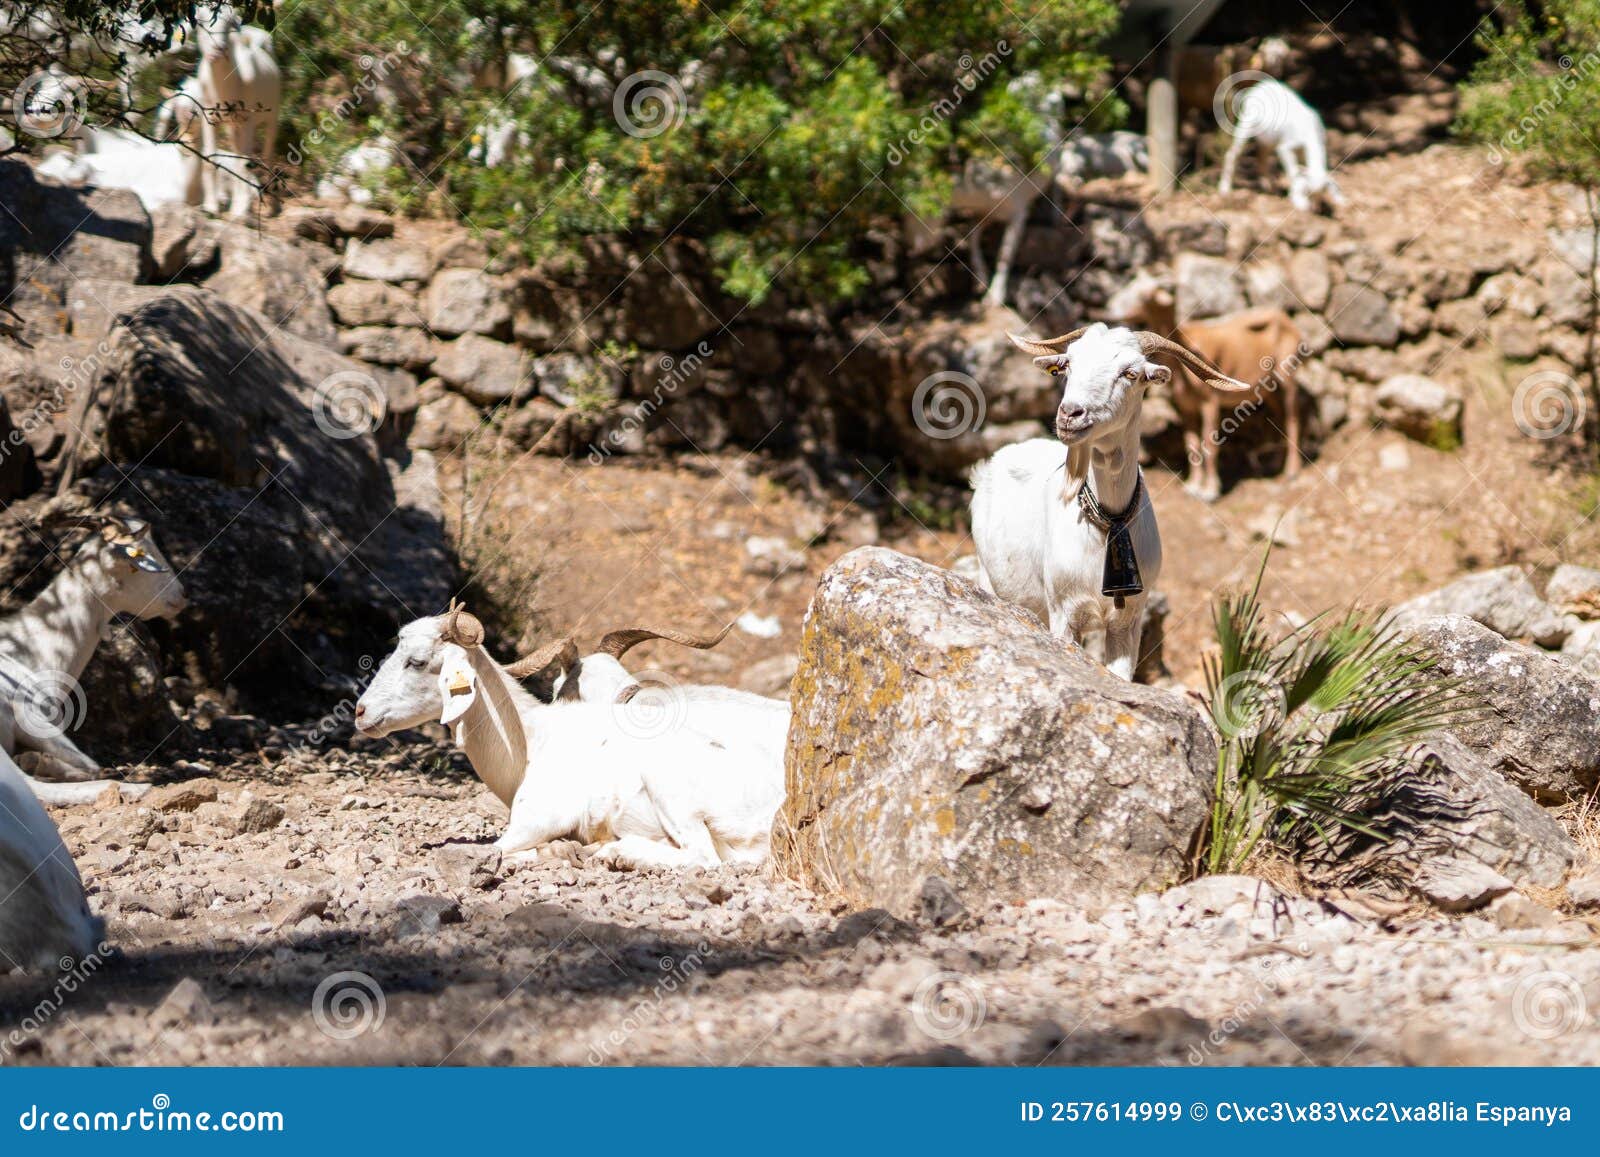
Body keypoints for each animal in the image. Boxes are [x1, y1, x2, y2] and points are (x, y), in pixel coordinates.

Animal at [0, 513, 187, 806]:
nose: (181, 594)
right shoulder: (31, 713)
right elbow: (91, 765)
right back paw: (135, 788)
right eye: (145, 553)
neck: (28, 651)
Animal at [354, 607, 785, 868]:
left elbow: (498, 851)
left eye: (417, 662)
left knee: (704, 857)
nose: (360, 712)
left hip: (669, 787)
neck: (534, 739)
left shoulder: (535, 821)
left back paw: (613, 852)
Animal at [970, 323, 1250, 679]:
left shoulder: (1129, 618)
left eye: (1130, 373)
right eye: (1068, 364)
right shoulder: (1063, 612)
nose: (1070, 414)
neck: (1108, 521)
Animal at [1106, 271, 1304, 501]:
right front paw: (1193, 485)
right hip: (1267, 388)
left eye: (1145, 294)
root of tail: (1286, 319)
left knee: (1293, 416)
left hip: (1288, 374)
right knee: (1279, 415)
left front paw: (1210, 490)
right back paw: (1275, 463)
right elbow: (1191, 443)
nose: (1111, 308)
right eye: (1130, 284)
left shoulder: (1210, 401)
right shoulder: (1186, 407)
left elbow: (1209, 442)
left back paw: (1292, 471)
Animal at [1217, 77, 1343, 212]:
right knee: (1232, 154)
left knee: (1262, 156)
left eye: (1322, 193)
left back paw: (1268, 187)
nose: (1316, 210)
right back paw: (1224, 189)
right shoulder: (1285, 148)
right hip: (1245, 126)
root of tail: (1262, 84)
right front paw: (1299, 203)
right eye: (1307, 192)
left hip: (1268, 139)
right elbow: (1293, 172)